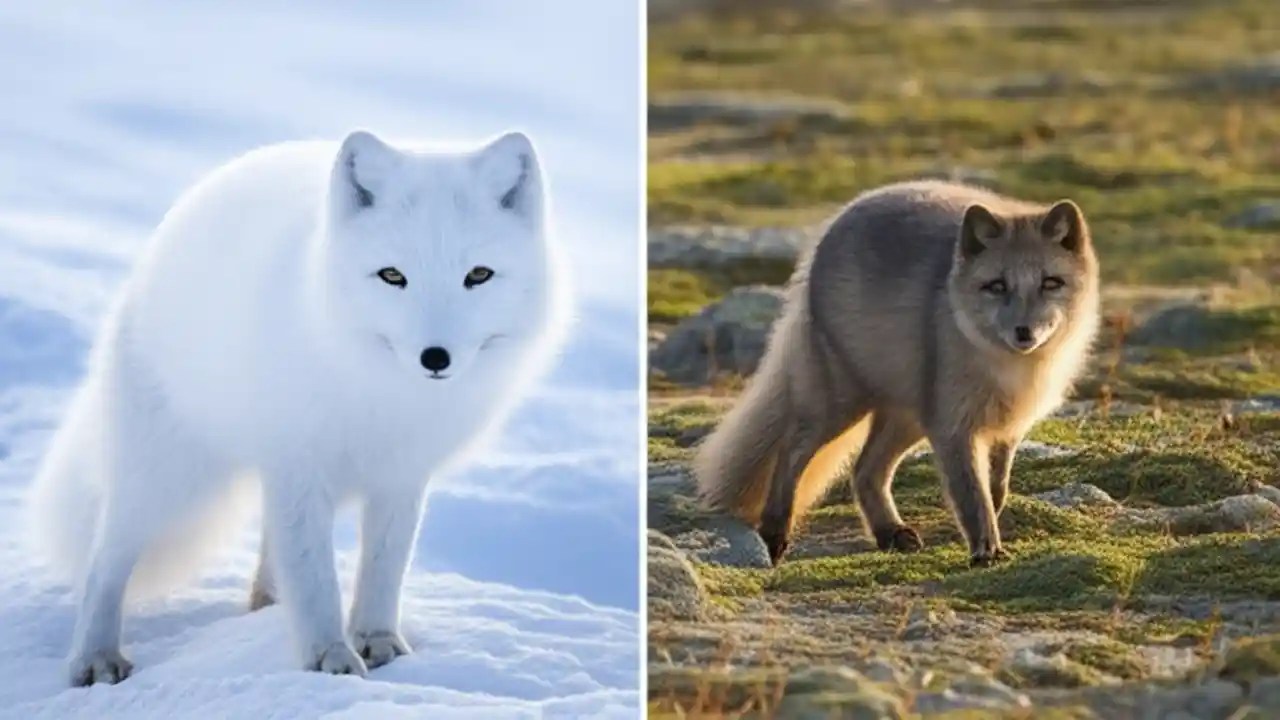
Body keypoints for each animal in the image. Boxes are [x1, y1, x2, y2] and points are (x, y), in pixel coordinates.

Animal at [27, 129, 567, 685]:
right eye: (392, 276)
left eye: (478, 275)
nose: (435, 357)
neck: (383, 394)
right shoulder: (299, 467)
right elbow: (314, 575)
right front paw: (329, 656)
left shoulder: (400, 476)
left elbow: (384, 565)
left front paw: (378, 641)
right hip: (164, 476)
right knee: (106, 560)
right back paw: (95, 656)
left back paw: (265, 604)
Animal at [695, 180, 1099, 568]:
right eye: (997, 286)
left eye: (1050, 283)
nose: (1024, 332)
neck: (1012, 370)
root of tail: (830, 229)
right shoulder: (952, 428)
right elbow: (972, 495)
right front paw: (985, 550)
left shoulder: (1009, 428)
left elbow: (996, 490)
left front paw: (991, 527)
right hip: (841, 406)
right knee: (792, 453)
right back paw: (775, 534)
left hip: (908, 416)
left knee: (864, 472)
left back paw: (890, 533)